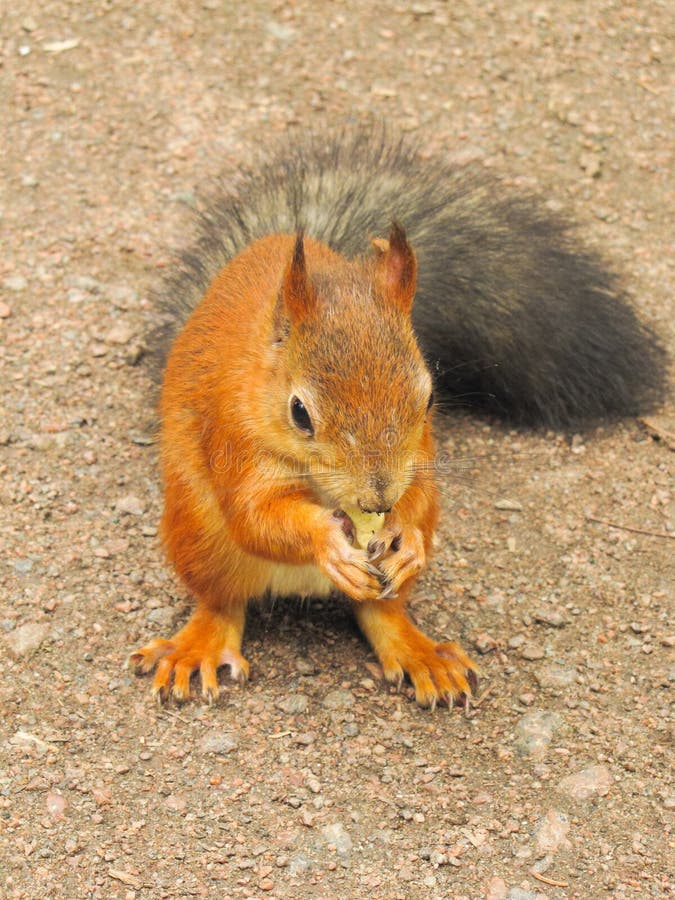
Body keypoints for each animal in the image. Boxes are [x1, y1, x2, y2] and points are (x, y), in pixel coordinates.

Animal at [130, 129, 666, 708]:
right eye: (299, 413)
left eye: (429, 398)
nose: (376, 499)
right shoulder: (233, 439)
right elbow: (255, 514)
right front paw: (326, 540)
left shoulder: (421, 456)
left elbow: (418, 497)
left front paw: (404, 536)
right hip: (200, 539)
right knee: (221, 602)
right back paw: (199, 646)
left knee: (381, 610)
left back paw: (420, 652)